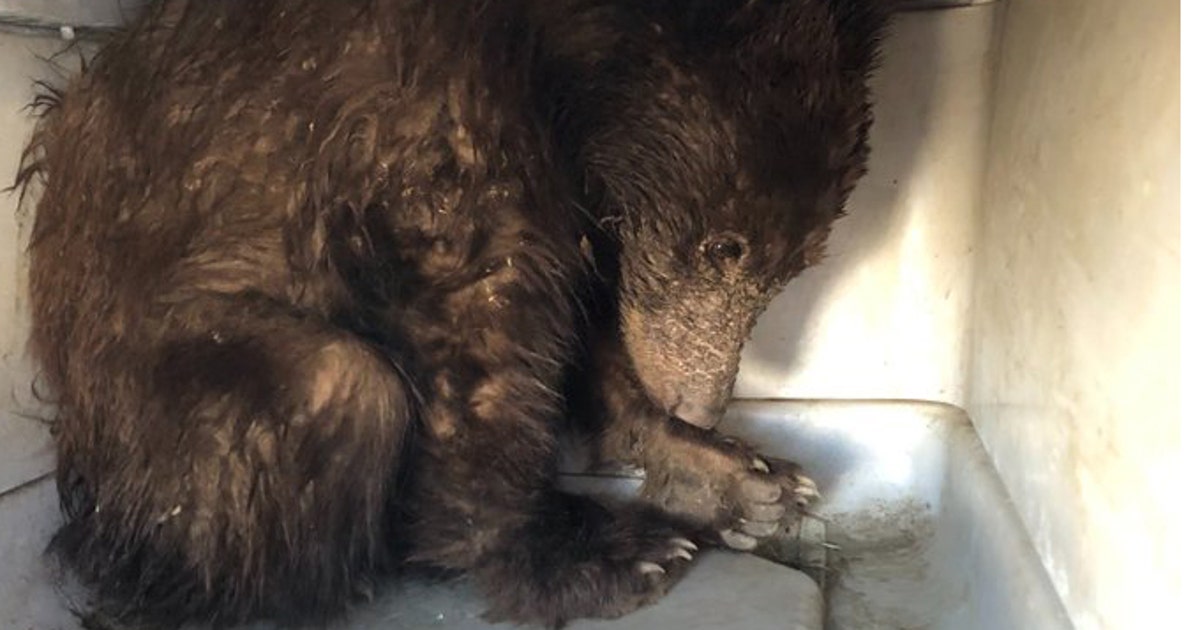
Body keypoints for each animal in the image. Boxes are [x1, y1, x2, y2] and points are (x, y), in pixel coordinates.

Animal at [16, 0, 887, 627]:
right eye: (724, 245)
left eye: (798, 259)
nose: (703, 403)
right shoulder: (430, 112)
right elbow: (483, 317)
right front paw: (598, 556)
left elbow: (590, 297)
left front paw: (733, 474)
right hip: (160, 411)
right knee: (340, 384)